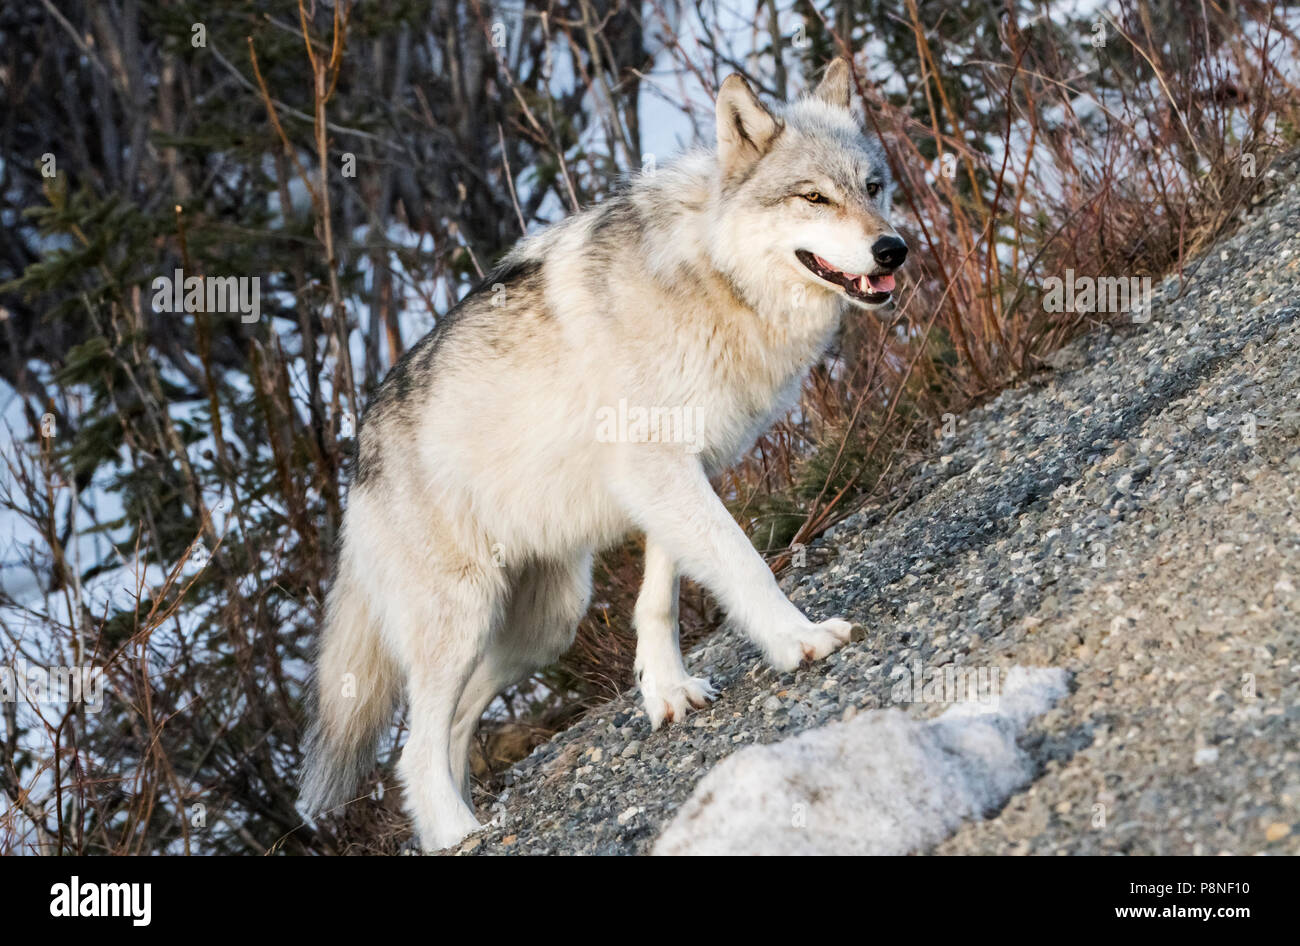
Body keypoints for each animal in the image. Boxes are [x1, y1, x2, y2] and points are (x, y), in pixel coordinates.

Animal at [299, 57, 908, 852]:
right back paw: (458, 830)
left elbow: (660, 596)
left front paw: (667, 692)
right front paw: (798, 641)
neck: (714, 277)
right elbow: (743, 563)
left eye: (874, 187)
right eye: (815, 196)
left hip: (546, 623)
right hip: (464, 619)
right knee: (412, 749)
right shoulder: (659, 468)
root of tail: (358, 460)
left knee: (453, 727)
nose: (893, 249)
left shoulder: (678, 473)